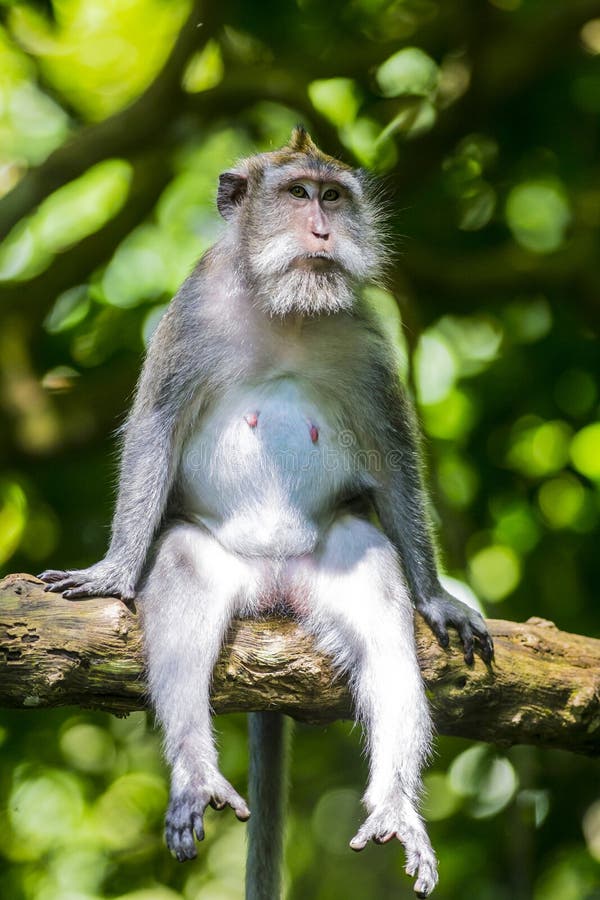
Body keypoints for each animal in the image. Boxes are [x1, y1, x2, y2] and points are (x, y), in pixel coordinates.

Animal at [39, 127, 493, 899]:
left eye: (334, 196)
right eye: (297, 193)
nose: (322, 229)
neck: (288, 310)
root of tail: (276, 587)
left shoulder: (363, 335)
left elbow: (393, 455)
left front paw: (436, 597)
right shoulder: (192, 311)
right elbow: (155, 428)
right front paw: (114, 569)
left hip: (325, 566)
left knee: (375, 588)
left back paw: (395, 803)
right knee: (185, 574)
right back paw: (195, 774)